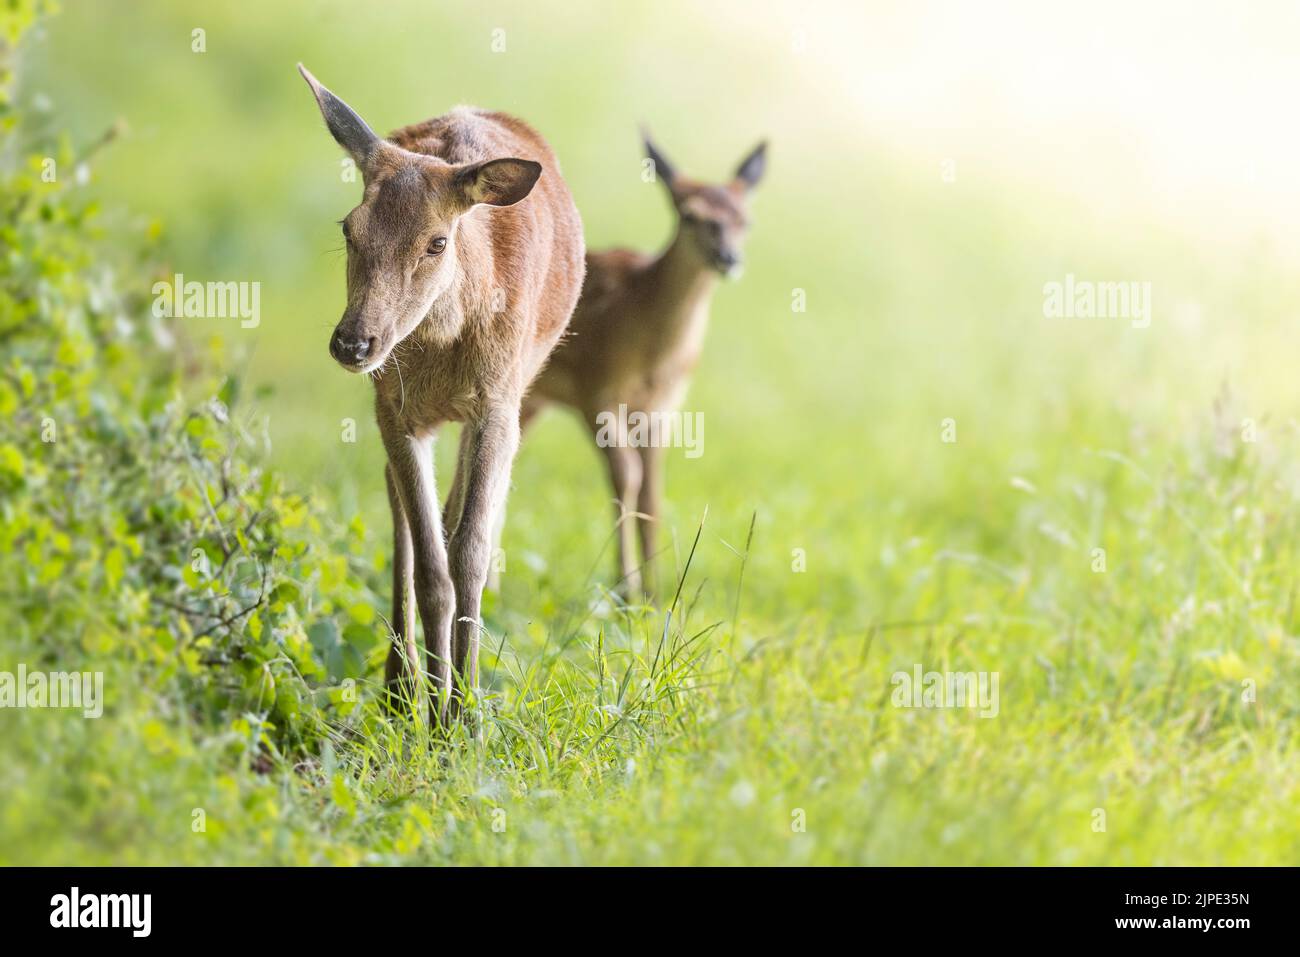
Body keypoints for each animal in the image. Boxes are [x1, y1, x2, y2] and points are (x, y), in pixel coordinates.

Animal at [298, 65, 585, 725]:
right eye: (348, 228)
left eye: (436, 242)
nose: (353, 342)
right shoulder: (394, 412)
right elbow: (433, 567)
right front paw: (434, 716)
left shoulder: (500, 405)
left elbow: (471, 553)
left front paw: (466, 717)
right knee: (403, 511)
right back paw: (399, 688)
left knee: (456, 518)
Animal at [514, 131, 765, 600]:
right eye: (690, 214)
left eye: (746, 220)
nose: (728, 258)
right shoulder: (596, 391)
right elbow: (625, 479)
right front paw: (626, 588)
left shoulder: (661, 408)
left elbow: (652, 491)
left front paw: (655, 590)